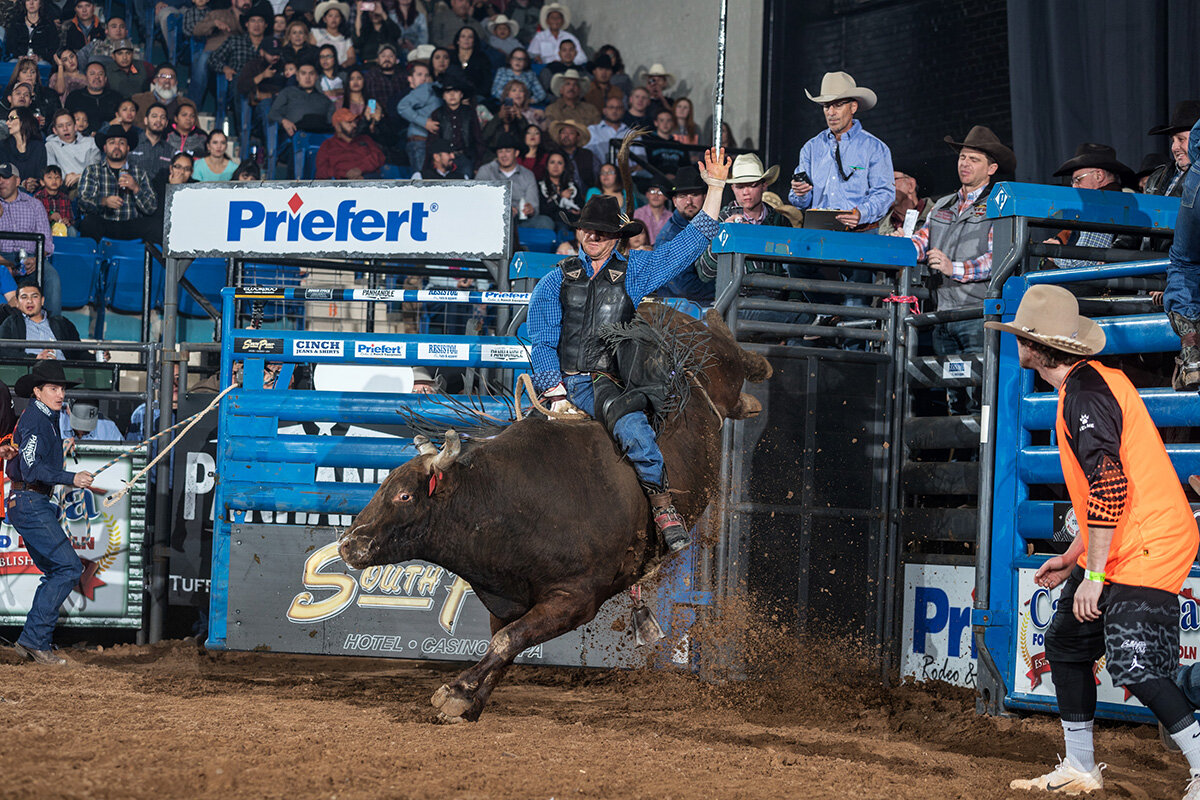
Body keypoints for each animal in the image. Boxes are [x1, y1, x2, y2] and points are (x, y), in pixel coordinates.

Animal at [336, 304, 768, 719]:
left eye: (404, 497)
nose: (347, 544)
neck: (506, 501)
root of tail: (656, 310)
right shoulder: (507, 598)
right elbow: (505, 646)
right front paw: (471, 703)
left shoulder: (575, 600)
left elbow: (506, 642)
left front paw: (455, 691)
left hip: (718, 363)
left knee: (731, 351)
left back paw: (748, 354)